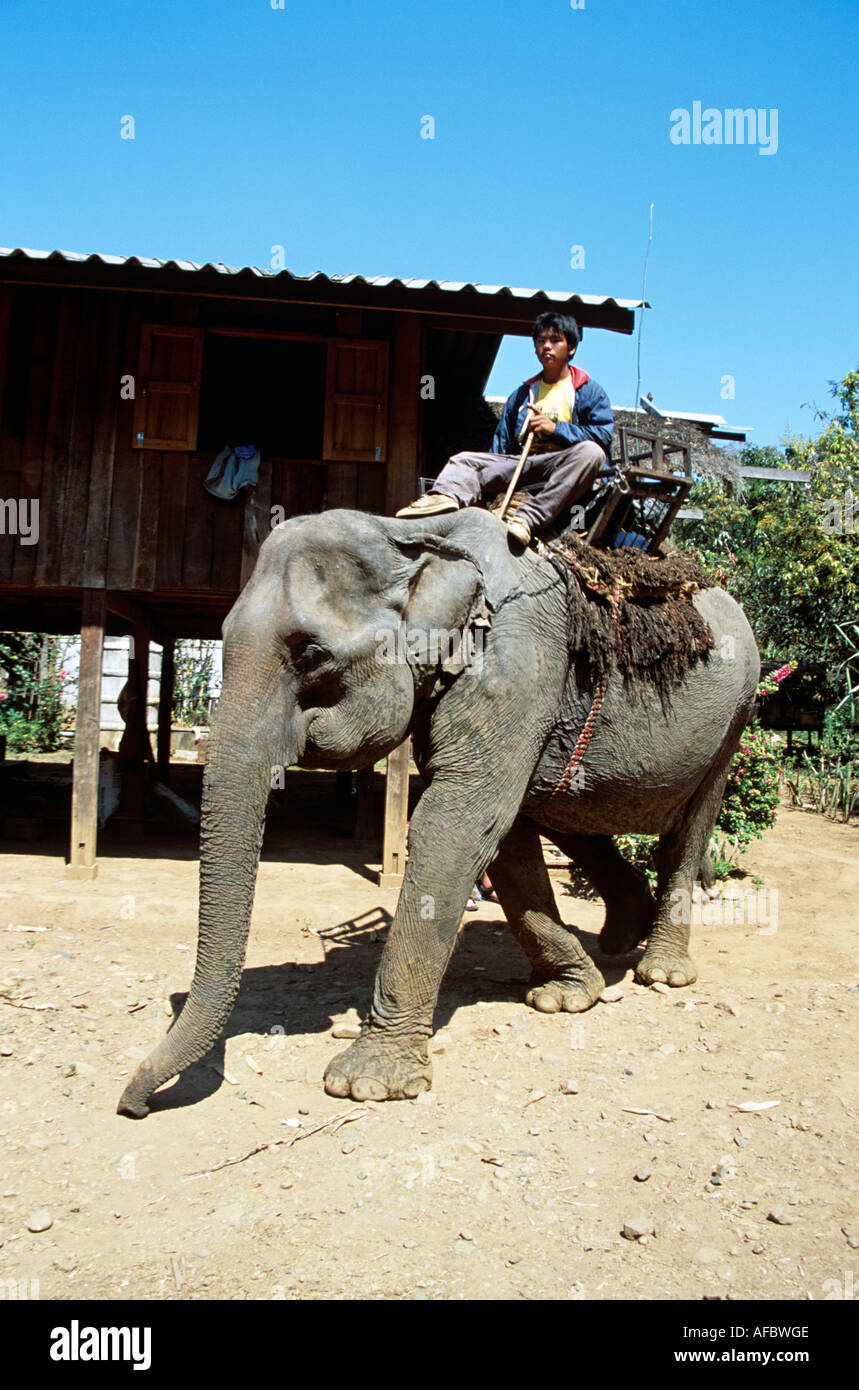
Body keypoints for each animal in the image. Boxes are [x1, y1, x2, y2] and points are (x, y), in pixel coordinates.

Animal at [117, 507, 759, 1117]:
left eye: (311, 654)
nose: (134, 1102)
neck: (411, 536)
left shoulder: (518, 659)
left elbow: (457, 821)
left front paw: (367, 1085)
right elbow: (500, 833)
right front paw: (567, 997)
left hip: (737, 711)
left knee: (685, 830)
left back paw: (661, 971)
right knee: (566, 811)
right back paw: (619, 940)